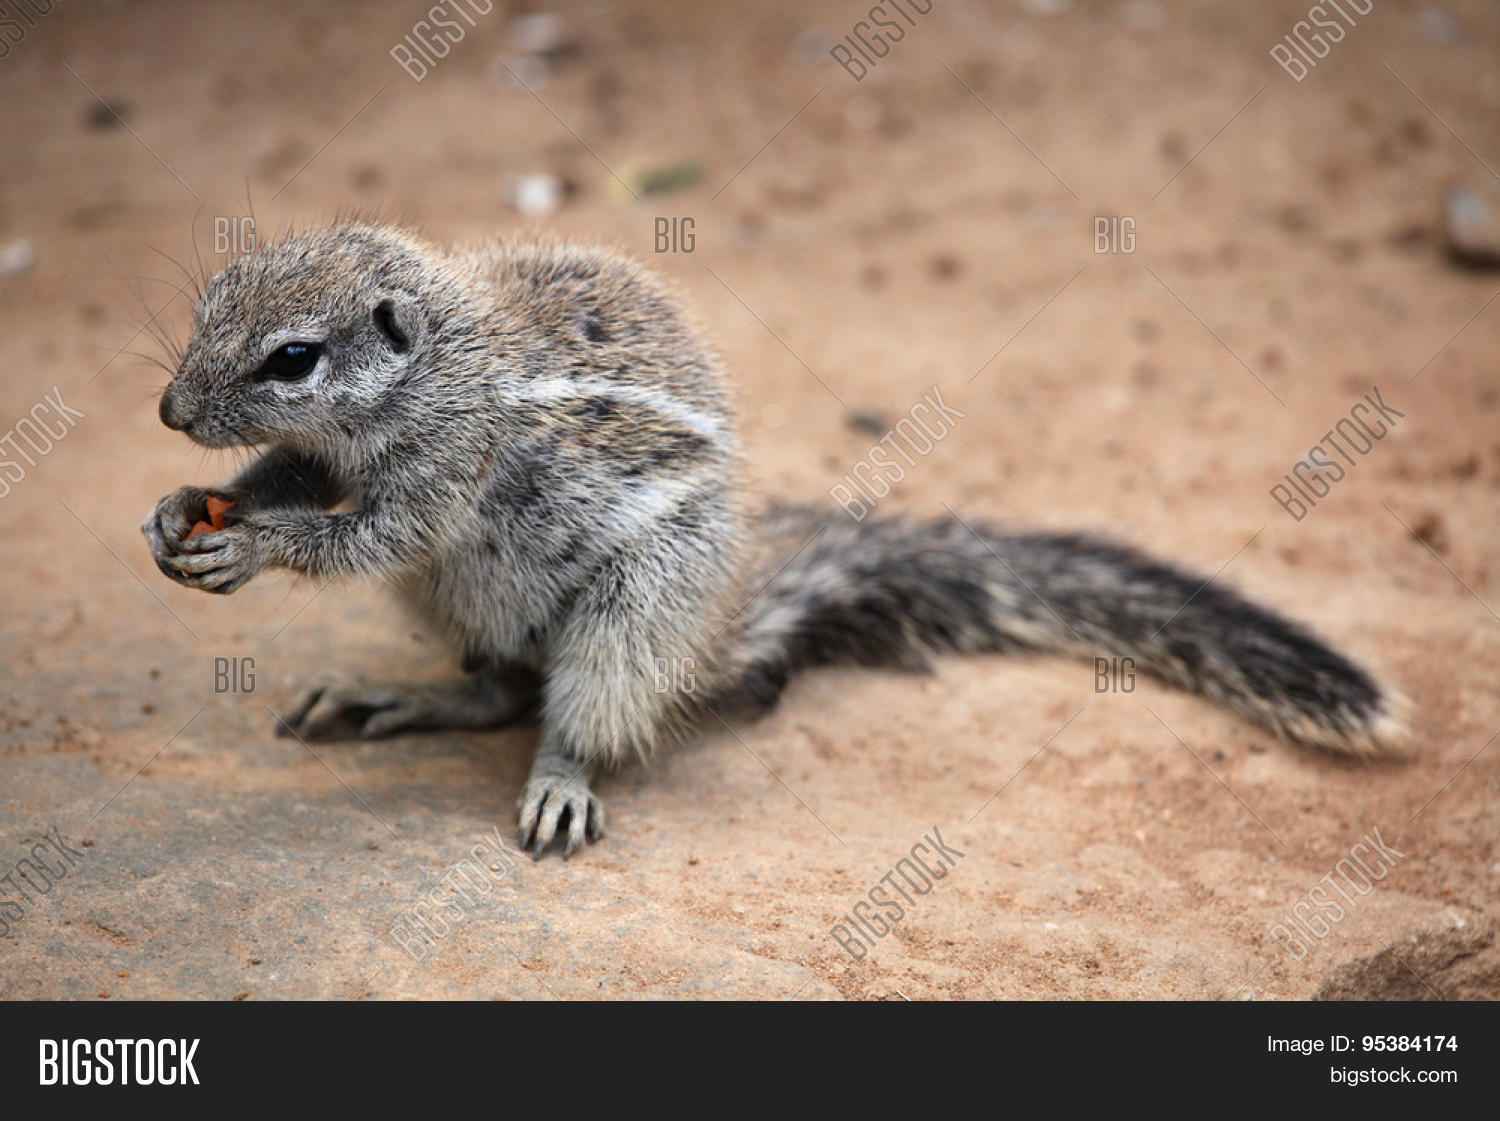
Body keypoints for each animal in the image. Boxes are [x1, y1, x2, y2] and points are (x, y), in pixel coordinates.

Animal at [142, 223, 1408, 857]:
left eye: (292, 357)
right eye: (204, 303)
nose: (170, 410)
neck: (438, 357)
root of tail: (719, 625)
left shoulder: (447, 464)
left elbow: (365, 535)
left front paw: (255, 545)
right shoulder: (341, 461)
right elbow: (289, 480)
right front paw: (186, 509)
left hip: (640, 602)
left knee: (579, 705)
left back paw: (561, 777)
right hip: (459, 598)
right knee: (497, 683)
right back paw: (400, 694)